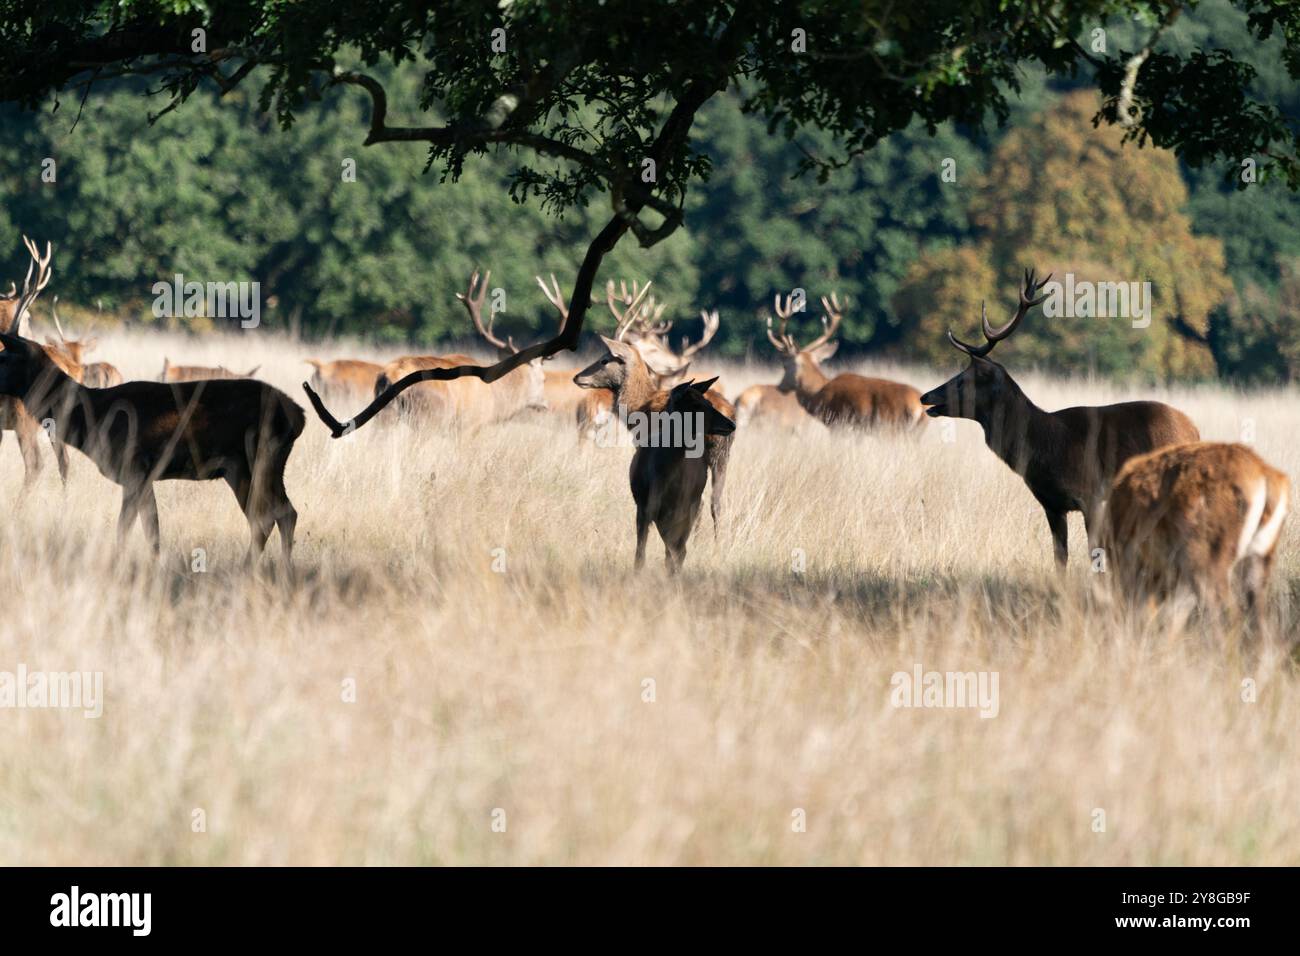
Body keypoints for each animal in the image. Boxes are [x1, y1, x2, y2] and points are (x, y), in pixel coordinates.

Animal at [0, 329, 304, 569]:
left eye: (4, 355)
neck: (94, 419)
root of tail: (299, 416)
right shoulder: (144, 477)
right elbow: (152, 532)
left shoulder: (135, 467)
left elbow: (126, 529)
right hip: (258, 467)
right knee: (283, 513)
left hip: (254, 460)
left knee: (267, 518)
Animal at [373, 271, 547, 426]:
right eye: (544, 379)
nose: (545, 404)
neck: (497, 399)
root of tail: (391, 375)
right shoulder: (472, 424)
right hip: (427, 416)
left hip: (384, 415)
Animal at [769, 292, 926, 430]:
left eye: (785, 365)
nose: (780, 386)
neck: (819, 395)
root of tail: (918, 409)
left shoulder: (838, 424)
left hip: (890, 426)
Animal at [919, 268, 1202, 569]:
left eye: (964, 379)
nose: (925, 396)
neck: (1044, 446)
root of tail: (1195, 430)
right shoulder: (1052, 504)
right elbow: (1060, 557)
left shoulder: (1091, 495)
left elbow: (1095, 555)